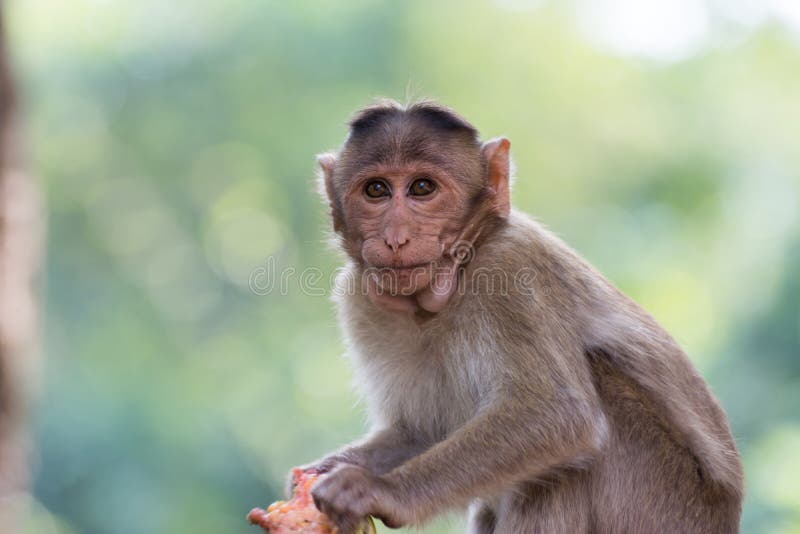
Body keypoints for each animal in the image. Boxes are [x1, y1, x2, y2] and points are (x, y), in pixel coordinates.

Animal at [297, 99, 743, 534]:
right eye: (376, 190)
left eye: (422, 188)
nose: (395, 237)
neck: (455, 279)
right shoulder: (358, 298)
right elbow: (420, 431)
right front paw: (328, 468)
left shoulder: (510, 268)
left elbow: (557, 414)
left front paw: (381, 490)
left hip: (665, 505)